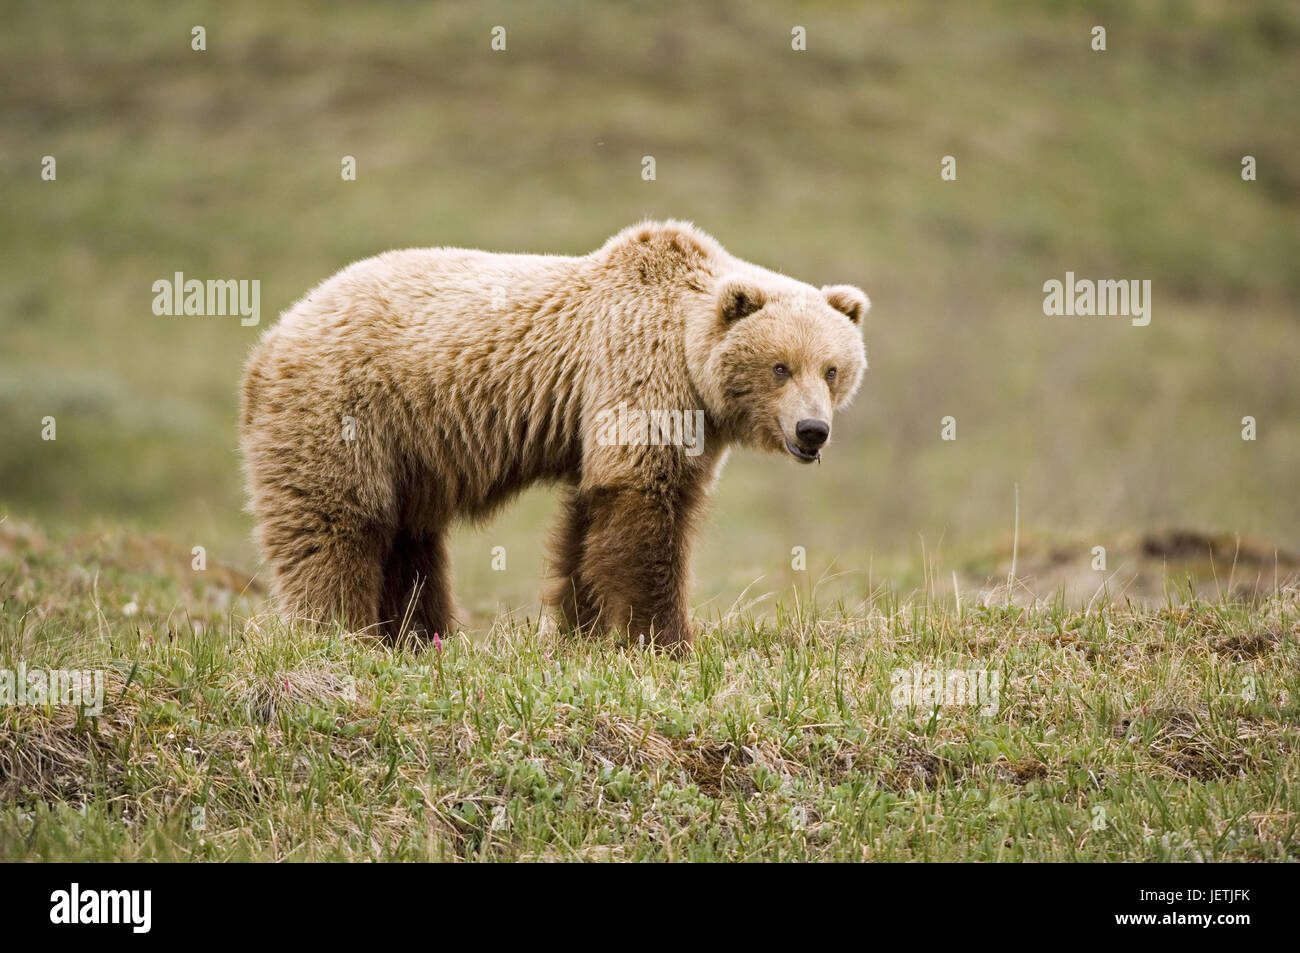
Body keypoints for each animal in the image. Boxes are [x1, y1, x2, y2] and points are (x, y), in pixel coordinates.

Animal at [240, 221, 869, 651]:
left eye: (832, 369)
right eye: (780, 367)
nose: (812, 430)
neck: (690, 360)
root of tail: (273, 337)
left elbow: (591, 518)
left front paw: (580, 627)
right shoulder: (636, 369)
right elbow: (645, 507)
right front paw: (664, 639)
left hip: (409, 449)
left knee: (407, 535)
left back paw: (418, 635)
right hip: (345, 409)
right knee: (336, 523)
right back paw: (341, 634)